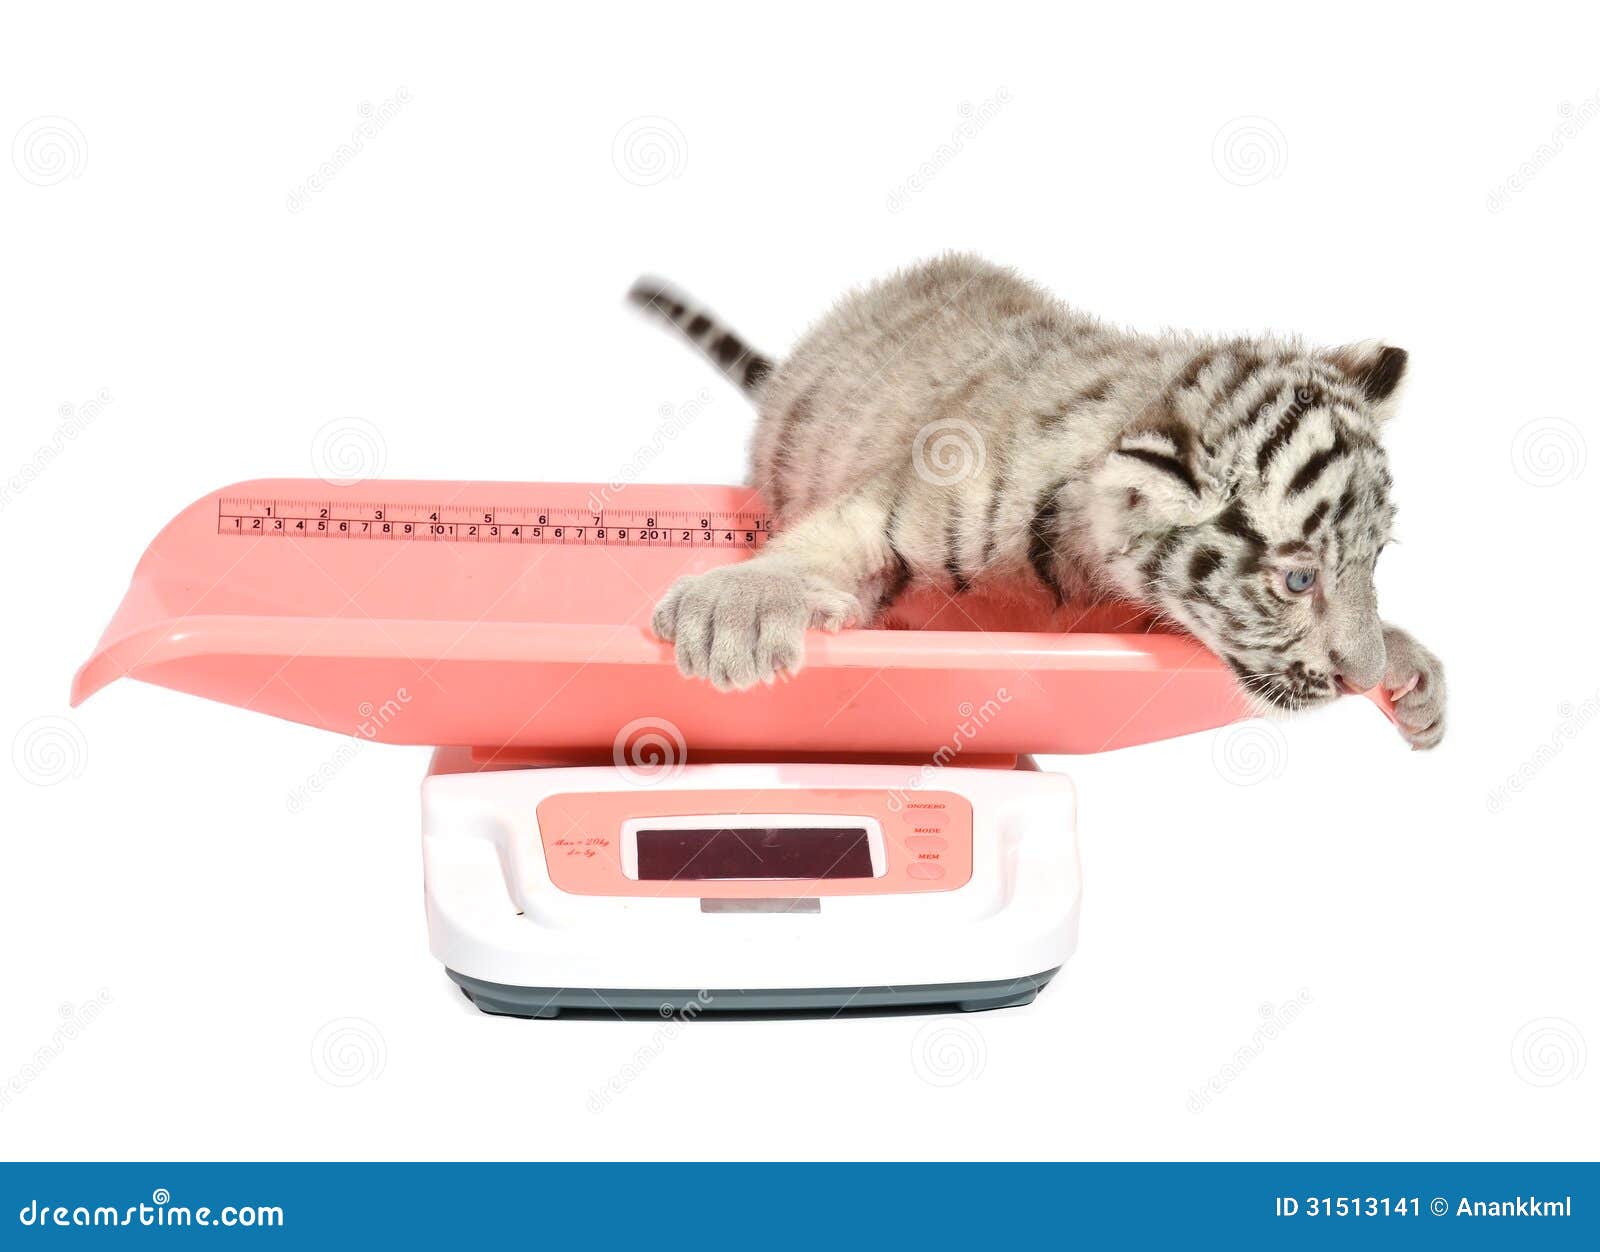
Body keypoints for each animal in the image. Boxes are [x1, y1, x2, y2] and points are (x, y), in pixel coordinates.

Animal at [630, 254, 1446, 748]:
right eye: (1299, 579)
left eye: (1374, 564)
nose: (1361, 679)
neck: (1084, 572)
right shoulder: (894, 505)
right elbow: (821, 543)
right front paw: (736, 609)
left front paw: (1410, 669)